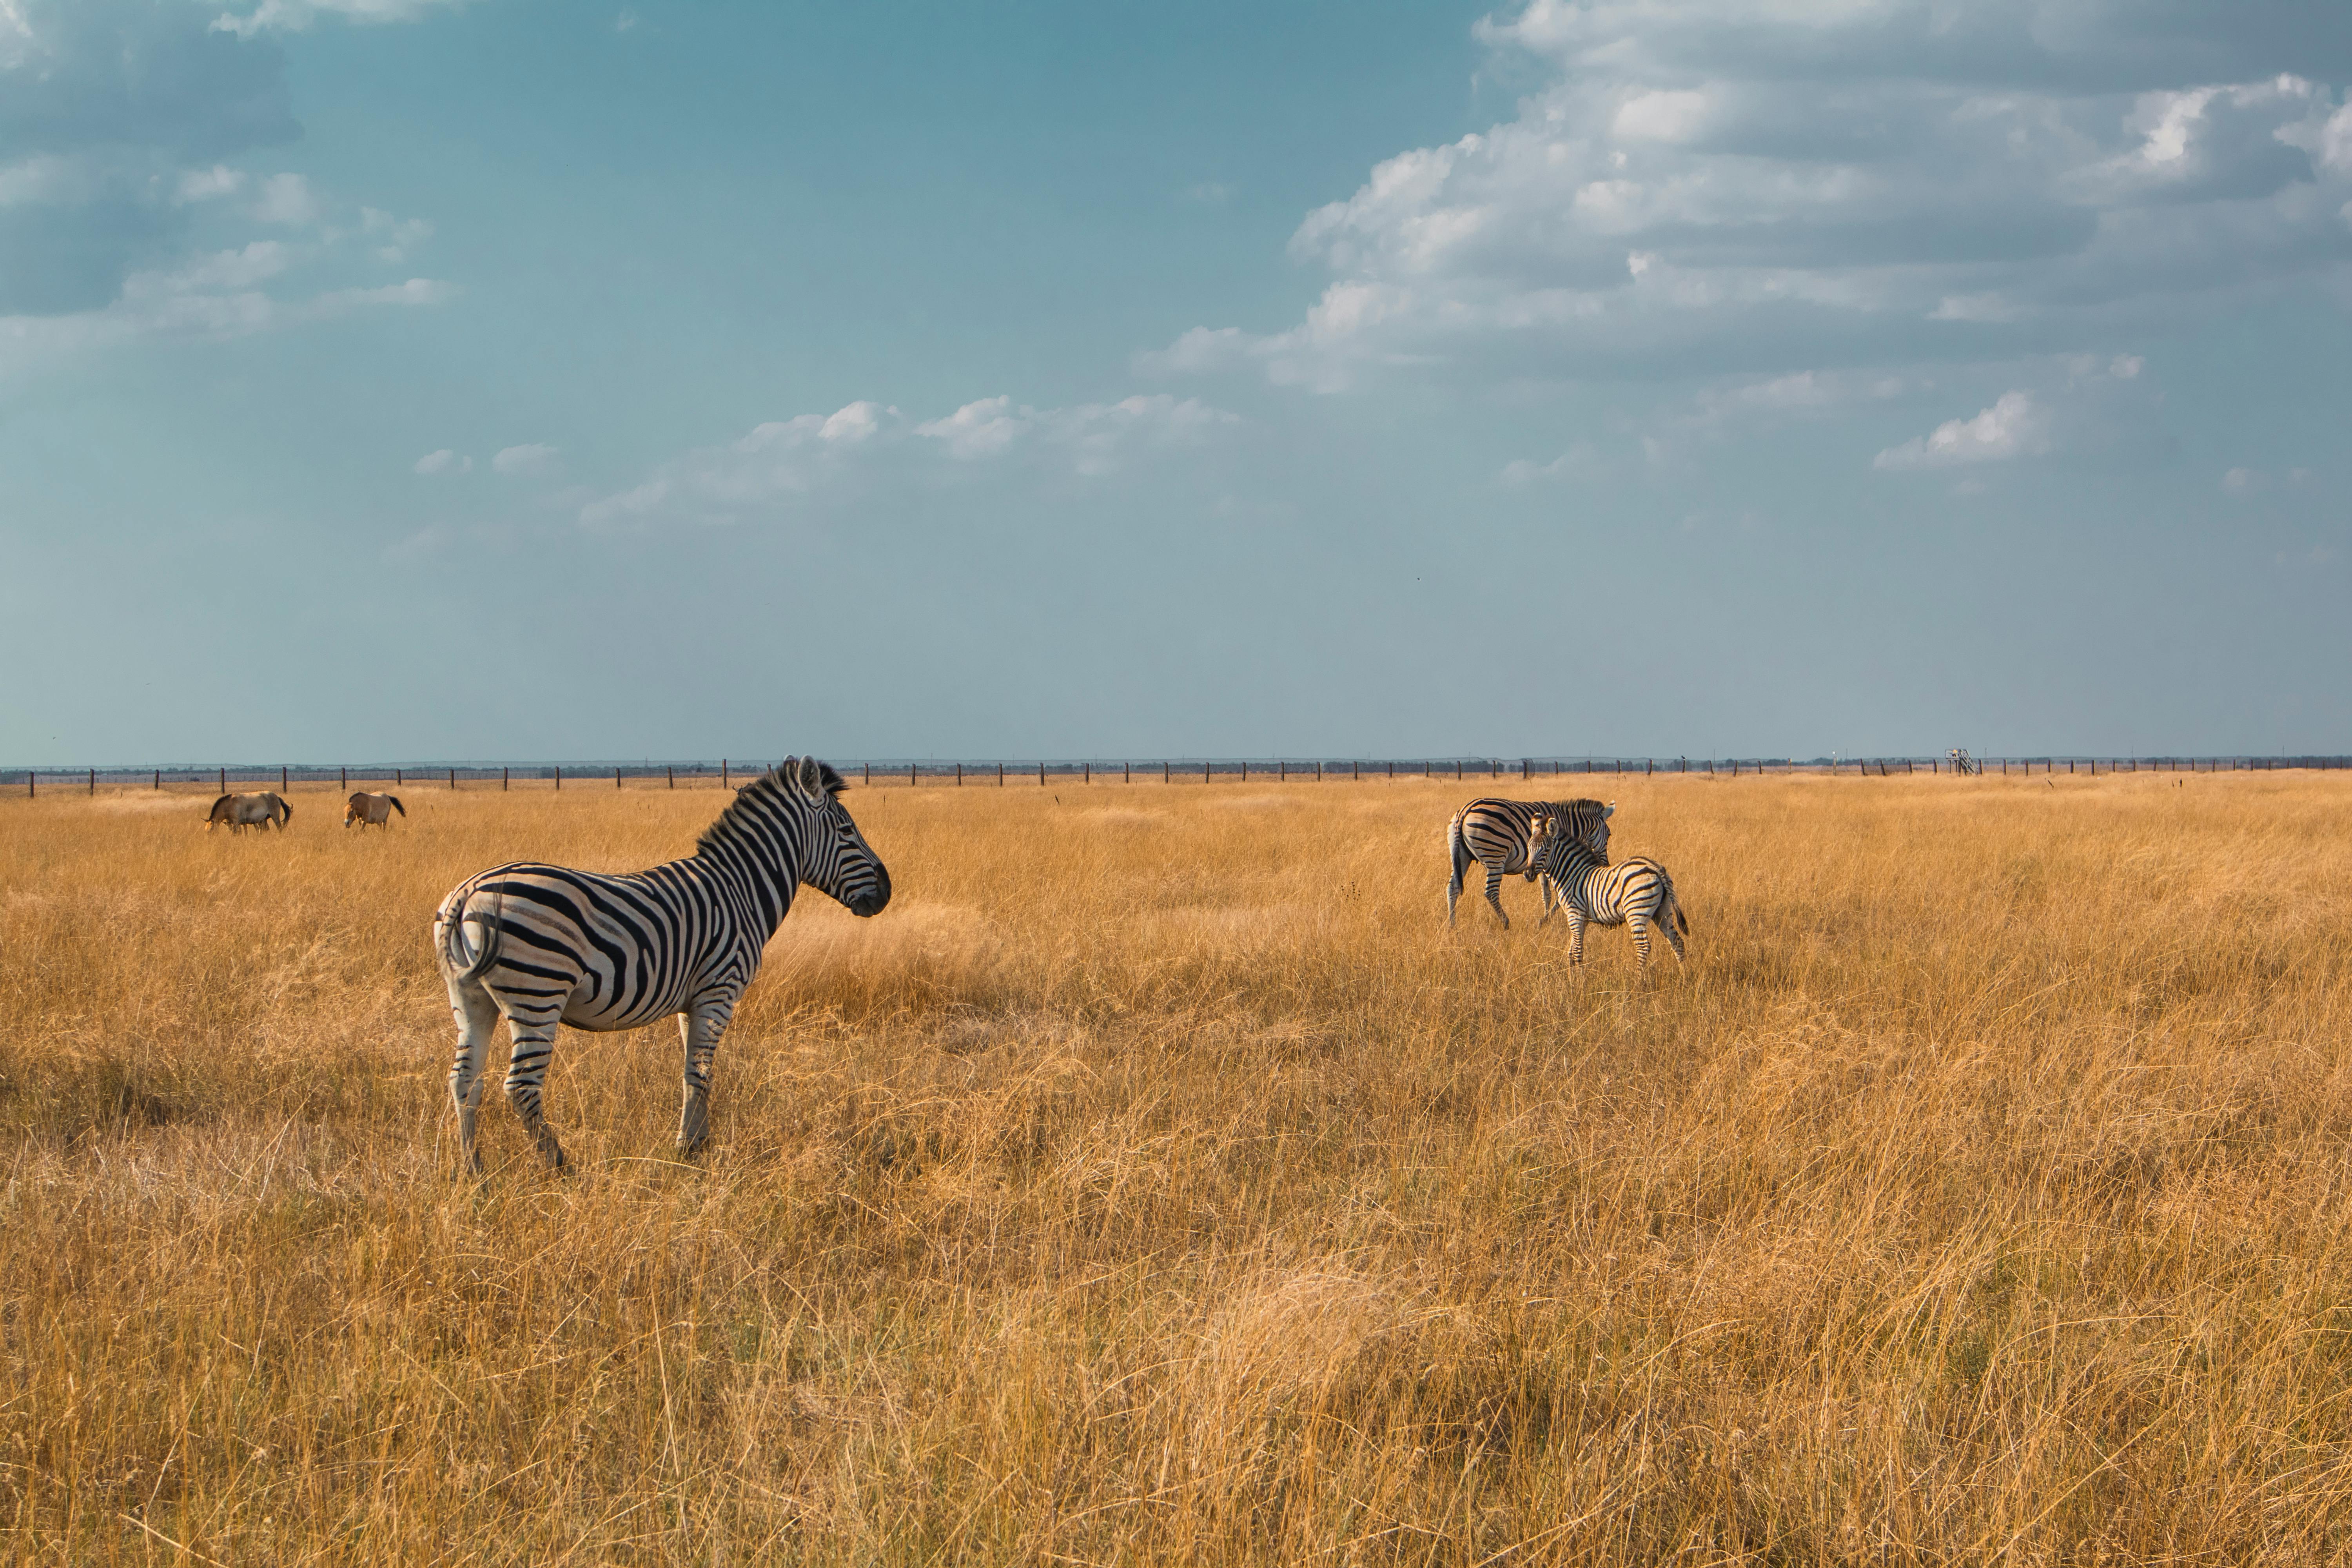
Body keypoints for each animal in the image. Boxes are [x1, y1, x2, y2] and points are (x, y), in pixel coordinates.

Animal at [432, 755, 890, 1174]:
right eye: (847, 831)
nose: (887, 892)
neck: (741, 889)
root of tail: (468, 891)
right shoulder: (719, 991)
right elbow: (701, 1072)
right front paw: (688, 1149)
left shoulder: (694, 1000)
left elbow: (694, 1072)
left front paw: (697, 1143)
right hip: (538, 992)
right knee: (521, 1087)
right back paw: (560, 1166)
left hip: (471, 998)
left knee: (465, 1080)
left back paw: (473, 1171)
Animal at [1446, 797, 1613, 928]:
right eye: (1609, 834)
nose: (1606, 865)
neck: (1569, 823)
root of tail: (1466, 810)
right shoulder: (1556, 861)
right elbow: (1558, 896)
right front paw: (1545, 920)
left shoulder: (1544, 863)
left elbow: (1546, 894)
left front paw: (1545, 919)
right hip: (1495, 855)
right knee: (1491, 892)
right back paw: (1506, 923)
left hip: (1461, 855)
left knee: (1453, 887)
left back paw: (1452, 925)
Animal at [1527, 816, 1688, 971]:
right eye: (1529, 848)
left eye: (1546, 850)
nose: (1528, 874)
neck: (1571, 875)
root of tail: (1655, 868)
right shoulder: (1583, 919)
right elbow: (1571, 952)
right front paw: (1572, 978)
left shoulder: (1575, 915)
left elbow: (1578, 953)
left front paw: (1580, 980)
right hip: (1662, 912)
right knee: (1677, 942)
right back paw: (1684, 976)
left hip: (1636, 912)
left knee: (1643, 948)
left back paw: (1637, 980)